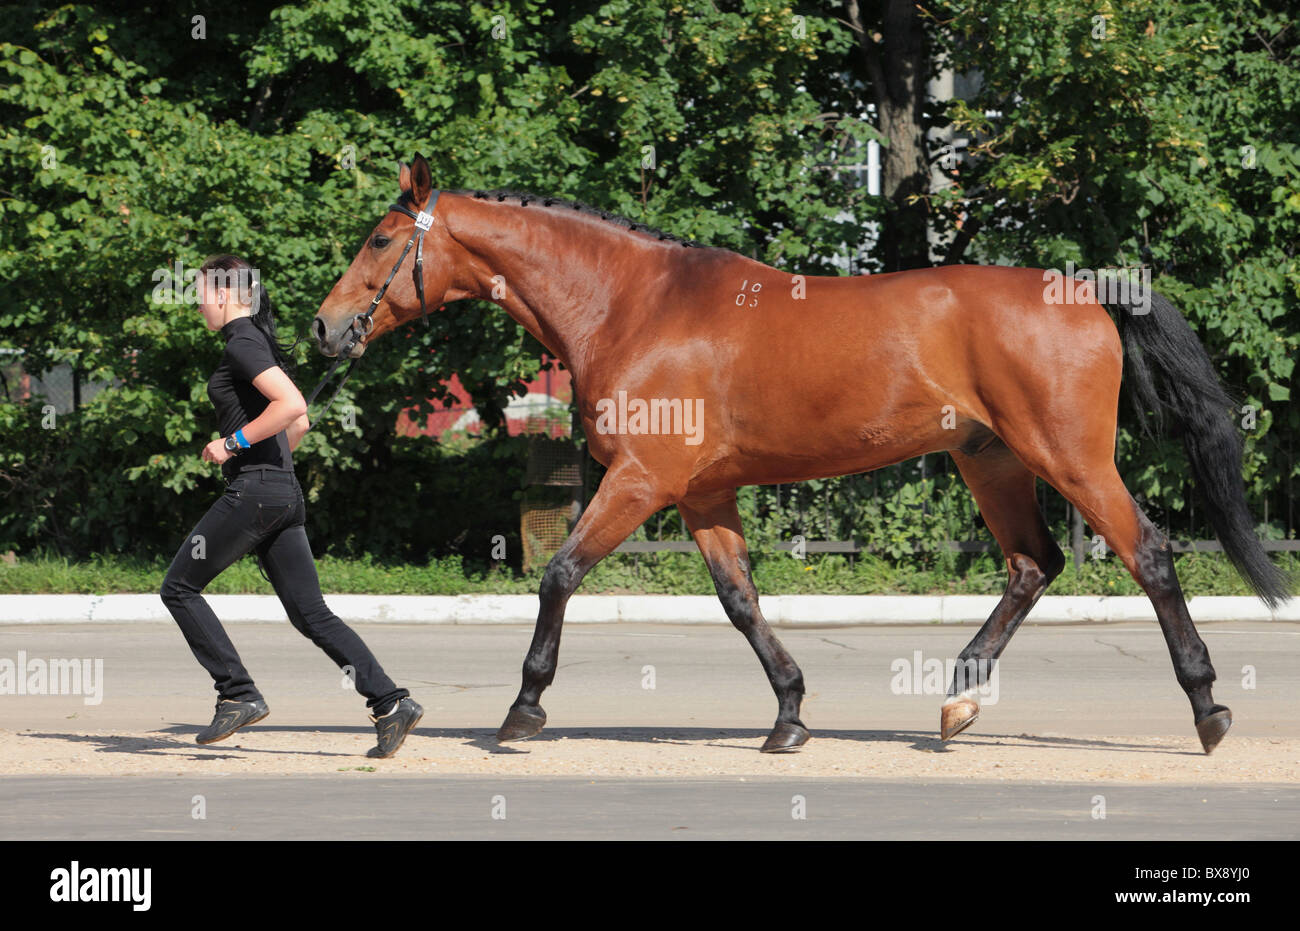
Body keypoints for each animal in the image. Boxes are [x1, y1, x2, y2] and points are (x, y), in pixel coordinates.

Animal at [313, 153, 1291, 756]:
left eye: (379, 240)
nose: (325, 328)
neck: (634, 304)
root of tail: (1086, 290)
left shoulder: (641, 480)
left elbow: (558, 575)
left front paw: (522, 709)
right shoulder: (702, 495)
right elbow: (741, 602)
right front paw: (788, 713)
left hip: (1070, 458)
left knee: (1148, 555)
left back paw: (1208, 707)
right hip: (992, 460)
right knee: (1032, 564)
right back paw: (958, 699)